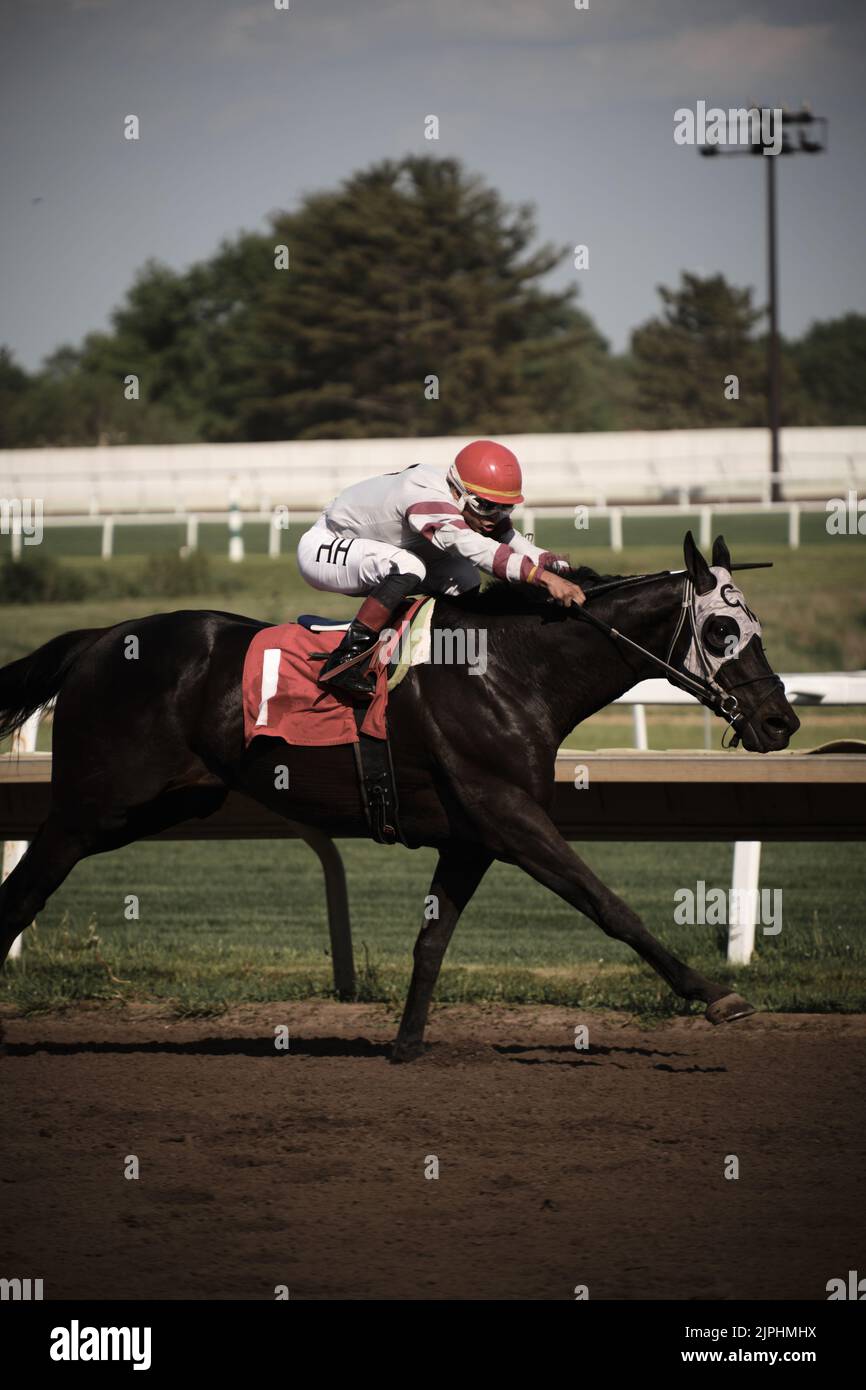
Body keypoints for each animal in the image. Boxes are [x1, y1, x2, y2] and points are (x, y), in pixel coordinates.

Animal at [0, 532, 799, 1059]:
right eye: (721, 628)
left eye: (755, 625)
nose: (780, 721)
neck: (508, 671)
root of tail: (102, 638)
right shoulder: (511, 814)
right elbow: (609, 905)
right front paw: (715, 996)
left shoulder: (473, 834)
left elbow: (432, 938)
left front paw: (407, 1043)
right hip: (91, 809)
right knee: (22, 892)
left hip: (163, 804)